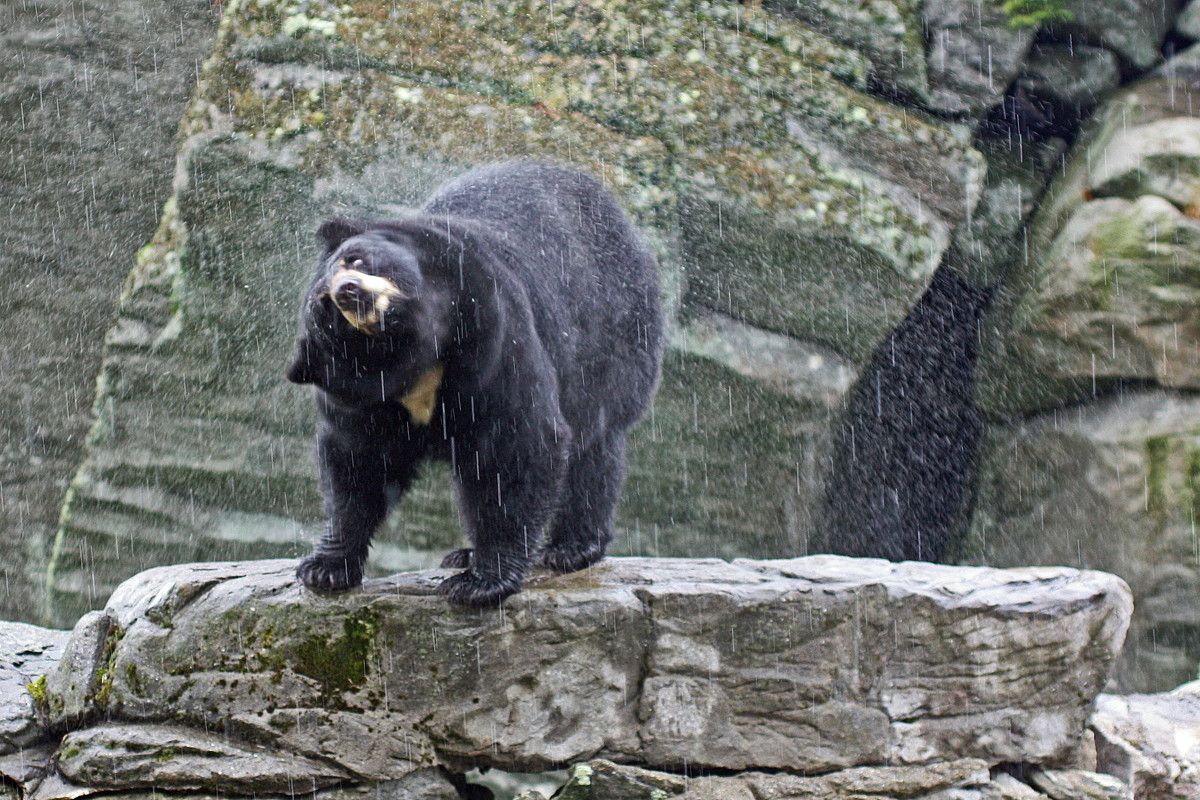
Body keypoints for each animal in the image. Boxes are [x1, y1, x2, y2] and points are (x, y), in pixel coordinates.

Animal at [286, 161, 664, 606]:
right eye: (326, 308)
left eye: (356, 259)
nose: (349, 291)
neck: (422, 356)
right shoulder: (360, 401)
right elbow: (357, 463)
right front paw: (325, 567)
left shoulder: (494, 336)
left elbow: (517, 446)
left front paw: (480, 583)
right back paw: (465, 552)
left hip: (614, 330)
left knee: (594, 444)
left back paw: (571, 548)